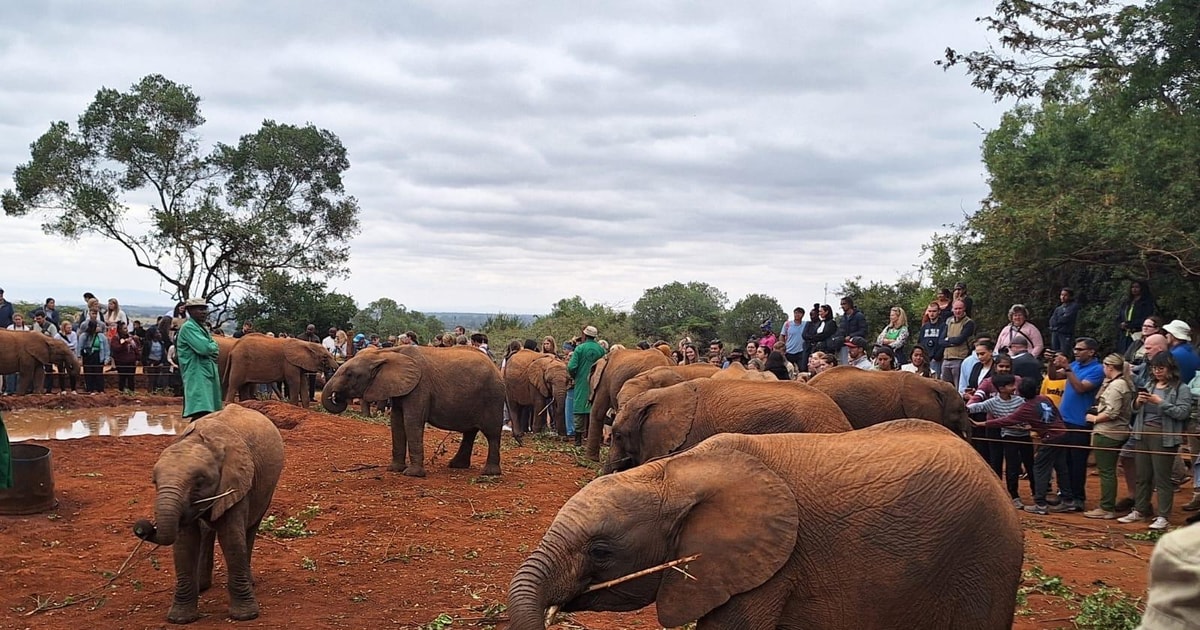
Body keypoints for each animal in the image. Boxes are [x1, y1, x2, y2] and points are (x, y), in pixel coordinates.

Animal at [132, 404, 285, 624]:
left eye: (199, 481)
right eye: (154, 482)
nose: (142, 528)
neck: (203, 441)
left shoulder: (237, 483)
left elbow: (231, 538)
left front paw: (245, 616)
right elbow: (184, 543)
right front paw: (180, 619)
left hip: (266, 488)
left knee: (250, 528)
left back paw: (248, 582)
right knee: (206, 532)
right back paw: (203, 587)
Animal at [322, 345, 505, 477]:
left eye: (349, 374)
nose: (337, 397)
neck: (386, 353)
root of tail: (495, 367)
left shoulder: (419, 387)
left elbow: (411, 421)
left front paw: (412, 474)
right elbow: (396, 422)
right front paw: (394, 469)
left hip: (493, 396)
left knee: (492, 434)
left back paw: (489, 473)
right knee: (470, 432)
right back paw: (457, 466)